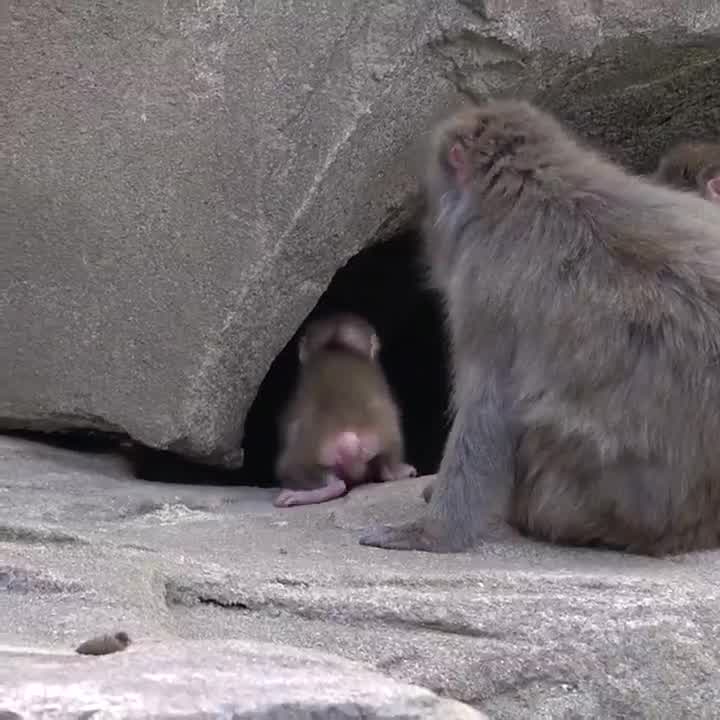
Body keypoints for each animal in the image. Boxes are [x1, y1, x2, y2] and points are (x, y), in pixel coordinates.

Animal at [359, 99, 720, 556]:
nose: (428, 225)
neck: (527, 188)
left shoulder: (482, 286)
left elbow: (488, 406)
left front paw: (429, 534)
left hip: (575, 505)